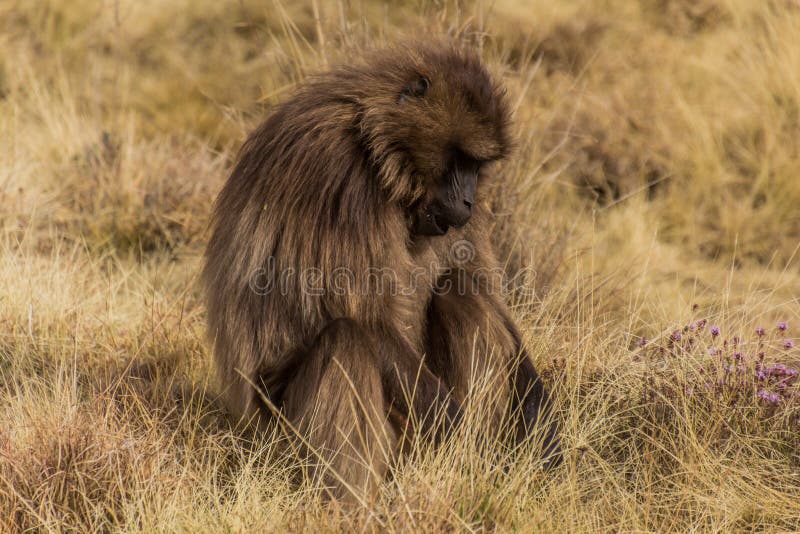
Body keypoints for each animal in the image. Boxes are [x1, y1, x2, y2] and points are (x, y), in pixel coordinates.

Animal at [203, 42, 560, 501]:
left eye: (477, 168)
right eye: (459, 160)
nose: (467, 202)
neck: (377, 151)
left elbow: (487, 293)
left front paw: (537, 423)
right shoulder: (336, 173)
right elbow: (363, 313)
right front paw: (471, 441)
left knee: (458, 289)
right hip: (279, 436)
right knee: (347, 338)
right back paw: (352, 503)